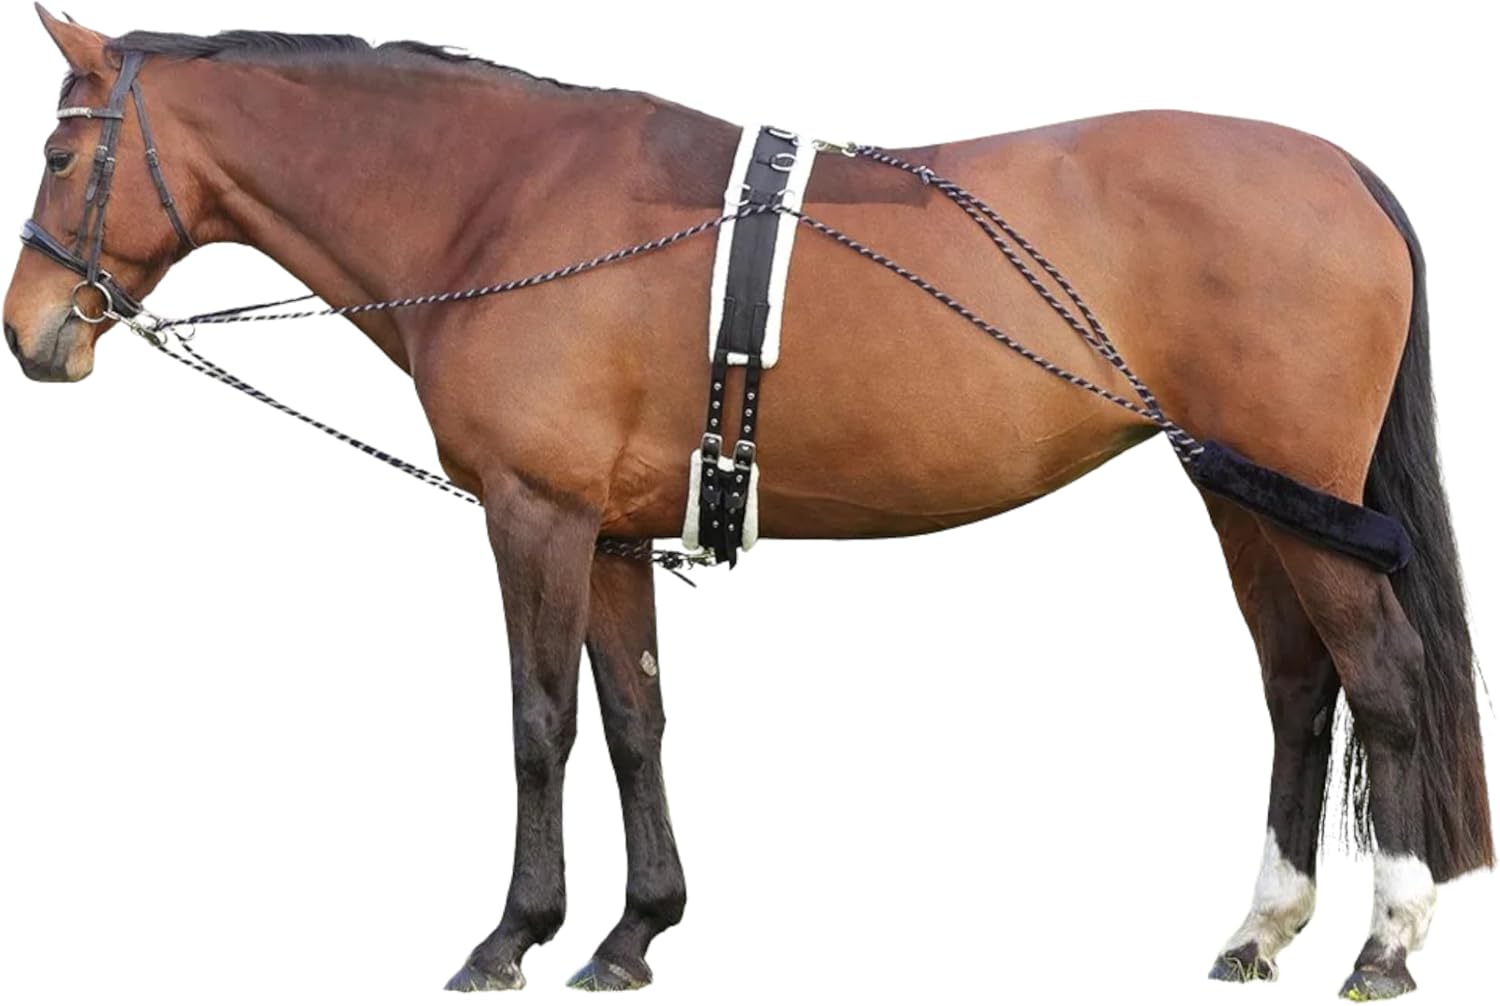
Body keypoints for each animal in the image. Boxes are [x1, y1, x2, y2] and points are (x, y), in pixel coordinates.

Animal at [3, 8, 1490, 998]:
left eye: (64, 155)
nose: (32, 334)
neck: (501, 201)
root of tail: (1342, 172)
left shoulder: (533, 516)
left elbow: (540, 724)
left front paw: (511, 934)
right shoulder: (606, 530)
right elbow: (634, 721)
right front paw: (633, 930)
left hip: (1298, 498)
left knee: (1385, 676)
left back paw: (1385, 938)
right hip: (1249, 497)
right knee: (1300, 683)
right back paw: (1261, 926)